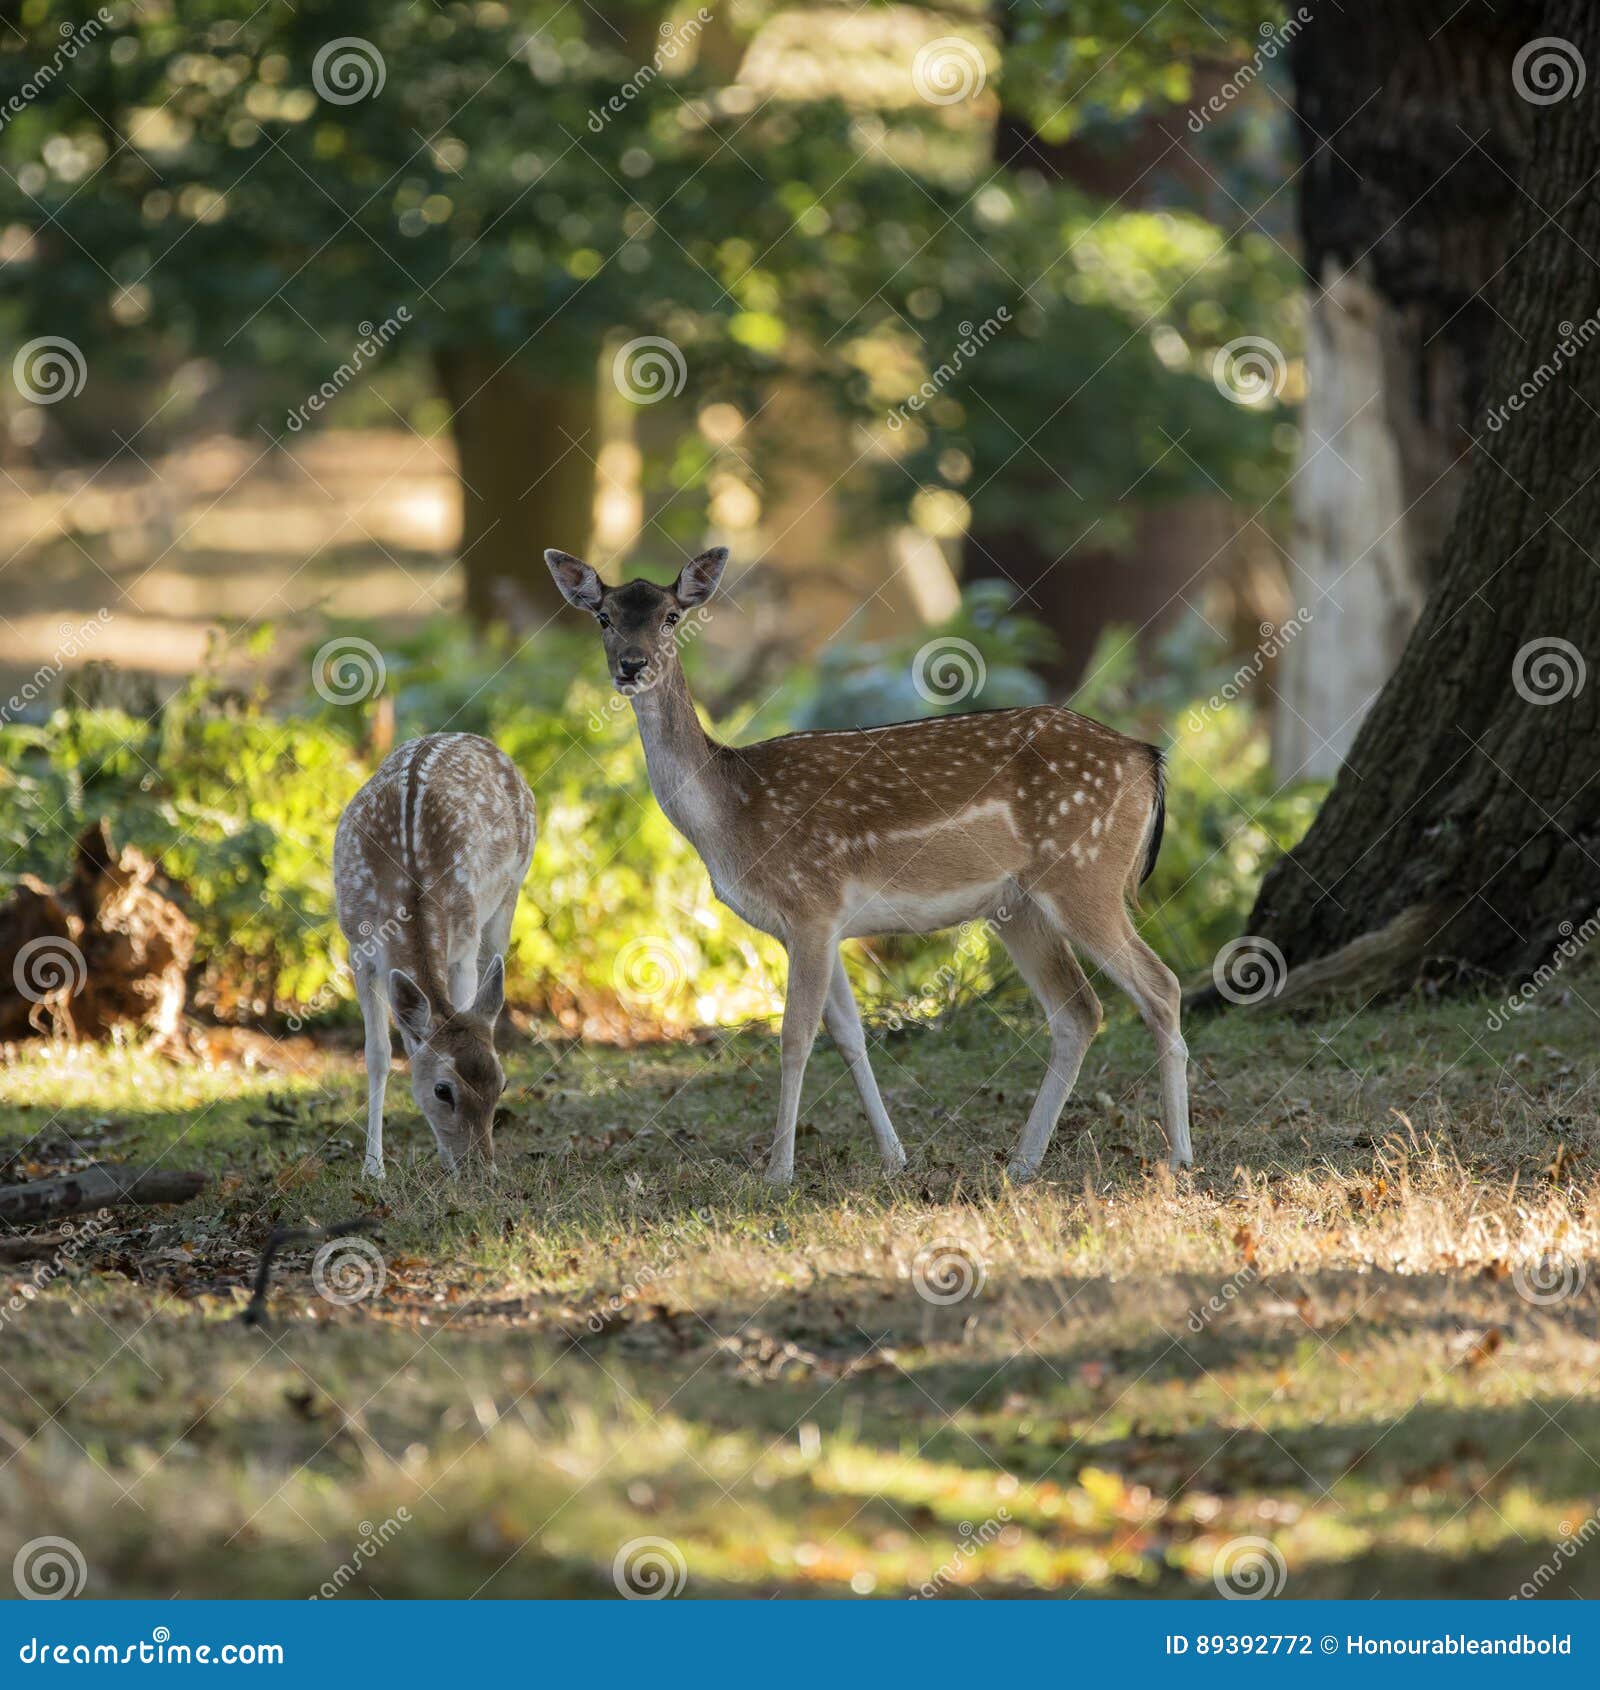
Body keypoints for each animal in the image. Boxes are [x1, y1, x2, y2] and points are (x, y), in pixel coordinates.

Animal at [334, 732, 536, 1178]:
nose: (481, 1169)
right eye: (443, 1091)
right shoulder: (359, 951)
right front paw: (373, 1169)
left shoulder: (463, 942)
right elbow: (378, 1054)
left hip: (511, 890)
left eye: (502, 1084)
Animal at [545, 545, 1192, 1187]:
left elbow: (794, 1035)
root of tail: (1148, 757)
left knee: (1160, 986)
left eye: (671, 618)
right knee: (1078, 1011)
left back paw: (1178, 1157)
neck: (731, 818)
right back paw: (1023, 1163)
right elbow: (849, 1034)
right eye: (603, 617)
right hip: (1019, 906)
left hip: (1085, 874)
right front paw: (894, 1157)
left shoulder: (810, 903)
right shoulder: (816, 923)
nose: (630, 666)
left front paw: (778, 1173)